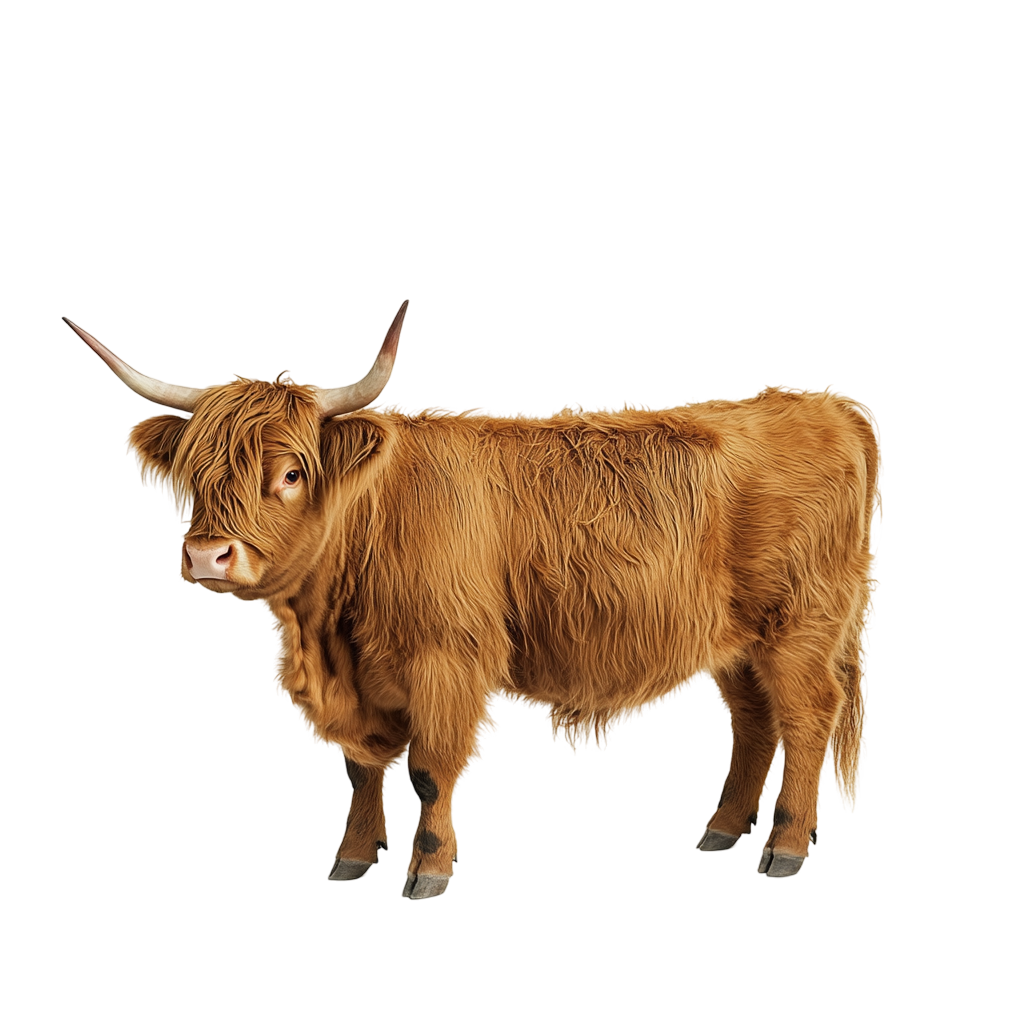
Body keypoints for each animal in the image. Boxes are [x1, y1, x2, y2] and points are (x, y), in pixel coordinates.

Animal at [65, 302, 882, 897]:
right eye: (197, 474)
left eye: (291, 473)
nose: (208, 555)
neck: (327, 634)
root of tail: (825, 402)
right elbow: (360, 768)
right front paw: (351, 859)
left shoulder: (445, 663)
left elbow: (429, 769)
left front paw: (427, 871)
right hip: (737, 646)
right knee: (754, 724)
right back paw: (722, 831)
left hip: (800, 631)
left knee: (807, 719)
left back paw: (783, 848)